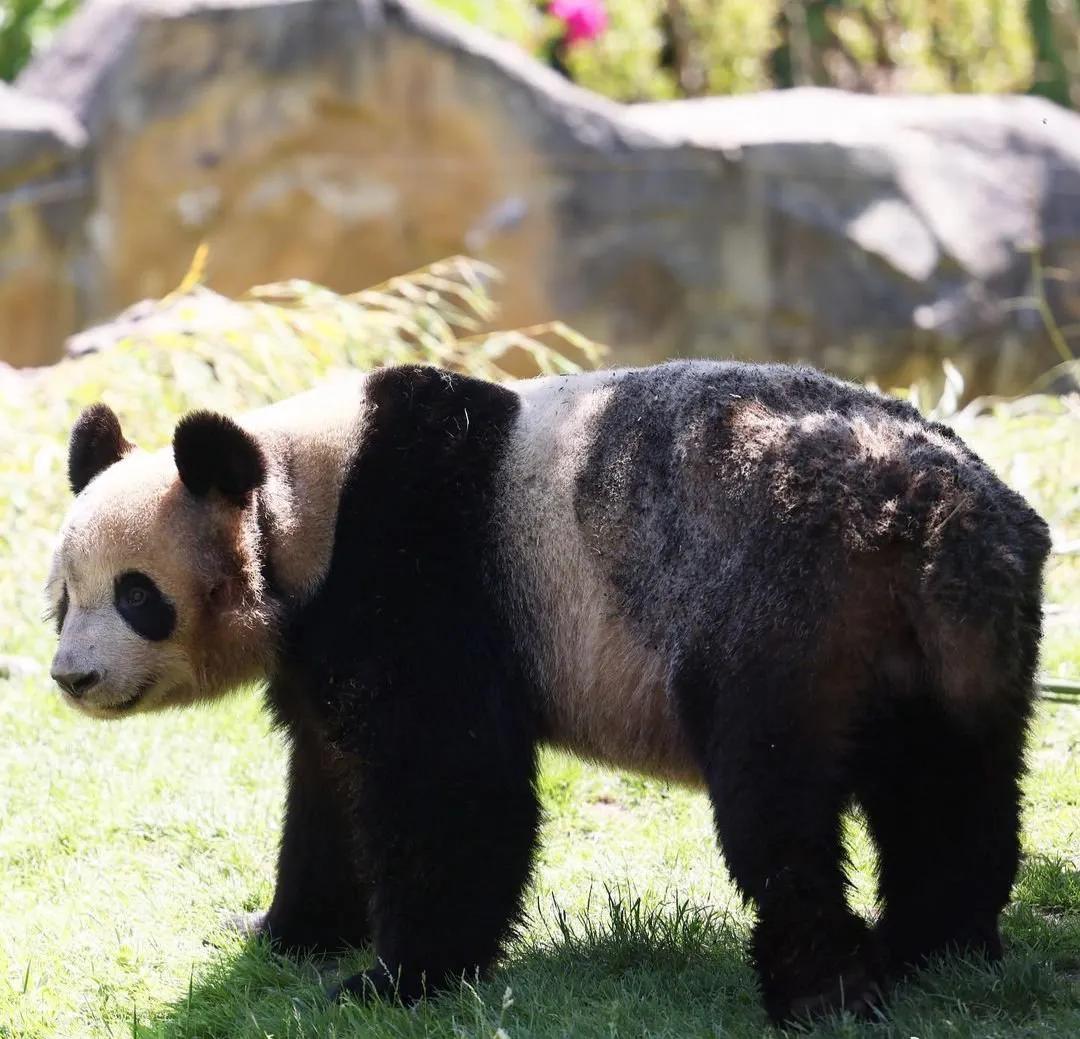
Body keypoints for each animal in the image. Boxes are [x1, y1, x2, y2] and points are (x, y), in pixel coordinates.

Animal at [46, 360, 1050, 1025]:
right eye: (62, 595)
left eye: (138, 596)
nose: (73, 676)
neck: (299, 496)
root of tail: (935, 521)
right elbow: (328, 776)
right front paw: (285, 929)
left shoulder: (414, 565)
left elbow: (448, 780)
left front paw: (396, 979)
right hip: (958, 648)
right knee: (947, 787)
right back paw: (939, 946)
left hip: (786, 602)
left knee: (778, 802)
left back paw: (821, 991)